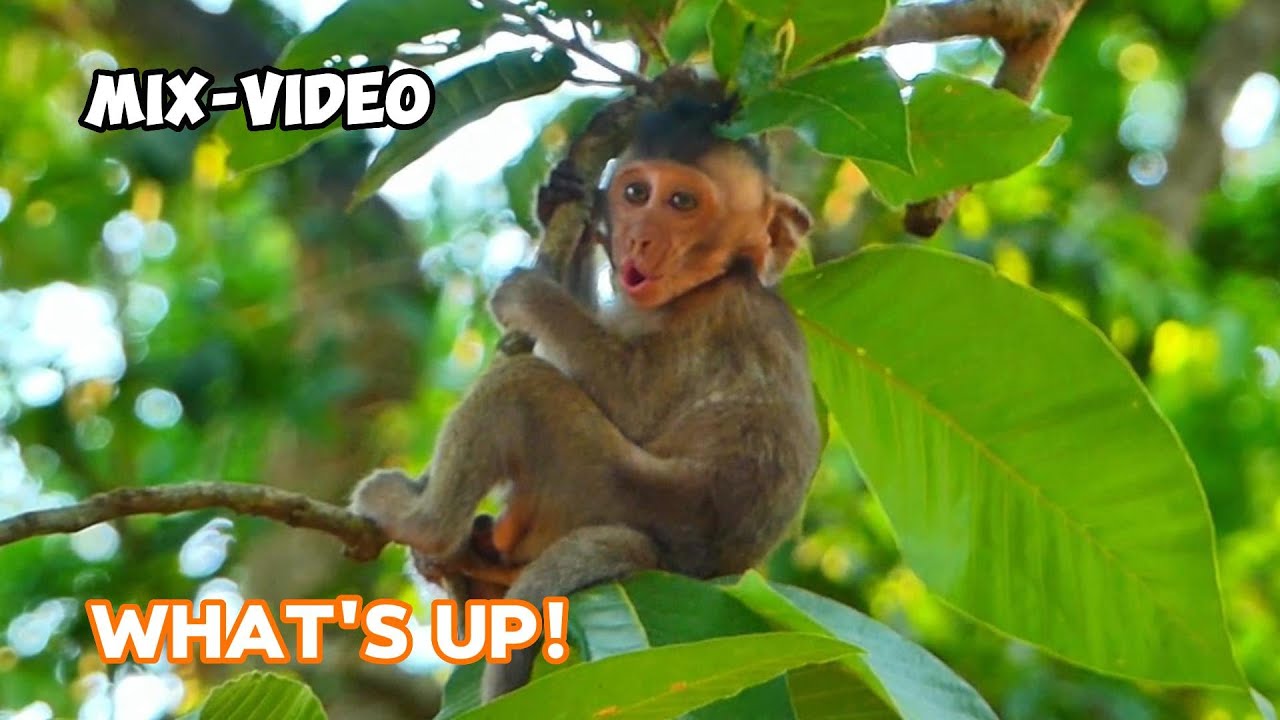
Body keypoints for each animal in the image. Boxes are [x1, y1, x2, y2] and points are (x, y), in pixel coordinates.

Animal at [350, 98, 822, 701]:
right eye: (636, 193)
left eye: (682, 202)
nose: (639, 239)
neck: (711, 280)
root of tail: (671, 560)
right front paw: (561, 202)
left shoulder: (717, 317)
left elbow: (628, 398)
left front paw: (532, 296)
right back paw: (467, 570)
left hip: (602, 486)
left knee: (522, 387)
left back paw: (424, 524)